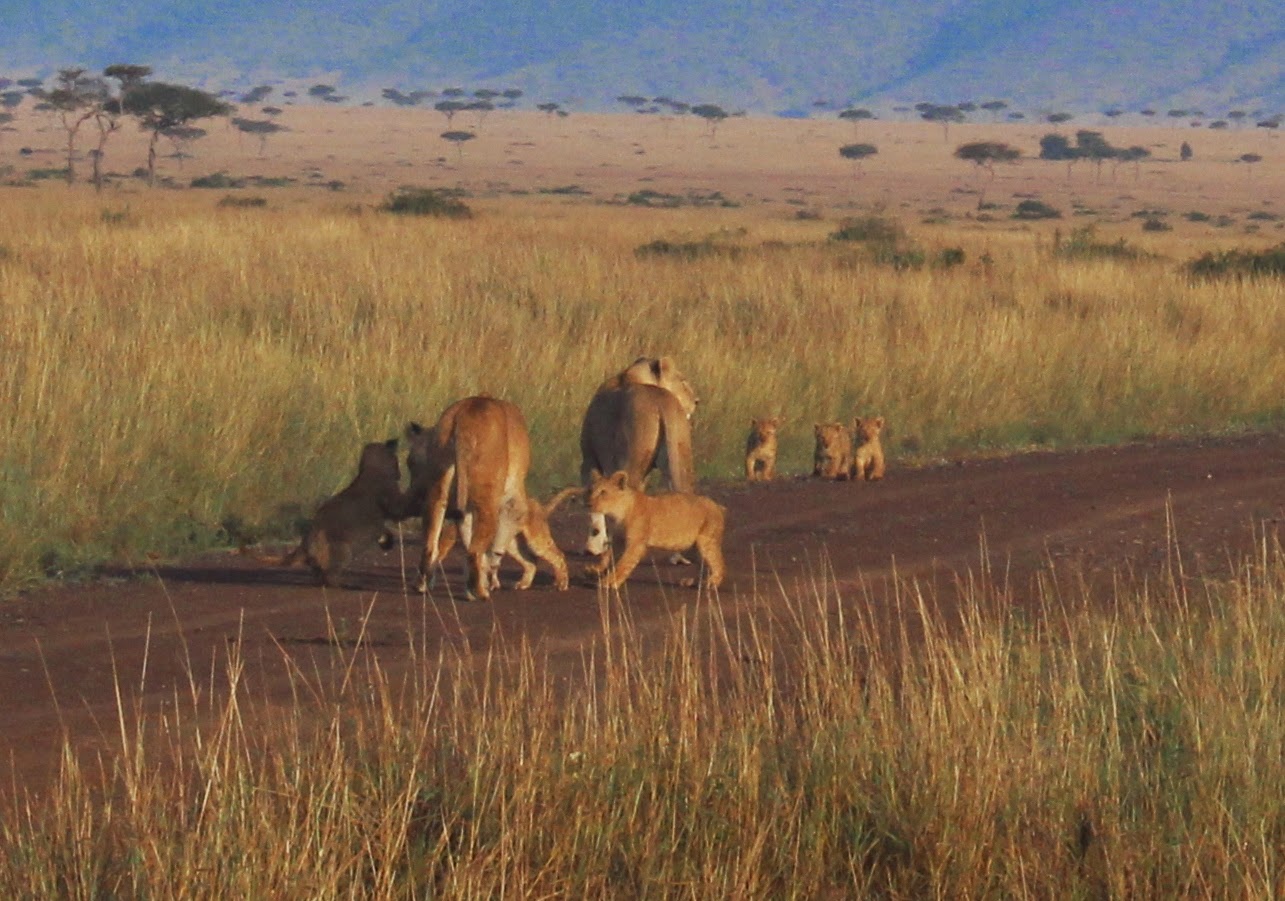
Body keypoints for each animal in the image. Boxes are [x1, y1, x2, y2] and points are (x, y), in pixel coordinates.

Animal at [242, 438, 404, 588]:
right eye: (396, 461)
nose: (400, 474)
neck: (370, 471)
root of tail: (305, 543)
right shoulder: (390, 498)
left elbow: (384, 528)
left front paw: (387, 539)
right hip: (342, 550)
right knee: (330, 575)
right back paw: (345, 583)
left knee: (318, 573)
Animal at [403, 395, 532, 600]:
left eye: (410, 462)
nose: (414, 496)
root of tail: (465, 412)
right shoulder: (514, 504)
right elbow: (496, 547)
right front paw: (489, 581)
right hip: (488, 499)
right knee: (474, 551)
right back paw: (480, 593)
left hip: (437, 495)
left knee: (431, 545)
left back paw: (422, 586)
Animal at [580, 356, 699, 561]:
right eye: (683, 381)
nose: (697, 401)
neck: (633, 375)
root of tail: (661, 401)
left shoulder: (589, 460)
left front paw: (593, 547)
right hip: (679, 455)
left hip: (631, 463)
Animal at [584, 470, 726, 590]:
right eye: (590, 490)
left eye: (603, 492)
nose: (588, 504)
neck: (616, 515)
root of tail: (718, 506)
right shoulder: (618, 540)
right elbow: (607, 555)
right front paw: (595, 570)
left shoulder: (636, 544)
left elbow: (622, 564)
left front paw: (608, 582)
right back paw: (691, 581)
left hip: (706, 541)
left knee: (719, 564)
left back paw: (711, 583)